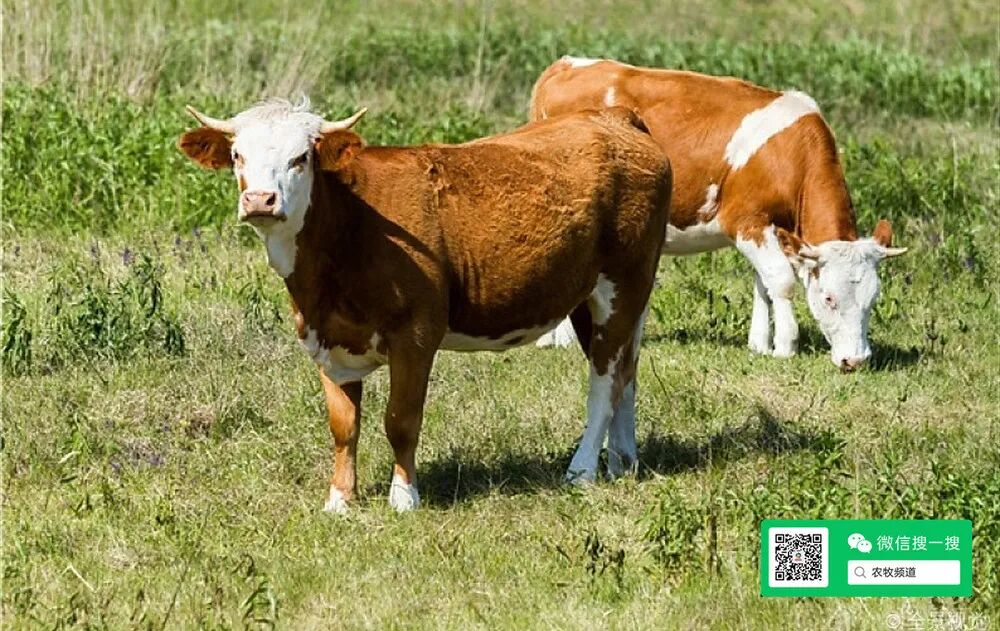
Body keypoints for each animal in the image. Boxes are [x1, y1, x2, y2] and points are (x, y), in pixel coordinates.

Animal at [178, 99, 671, 512]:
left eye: (301, 158)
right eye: (238, 156)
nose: (260, 200)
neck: (350, 228)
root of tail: (613, 117)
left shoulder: (415, 336)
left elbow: (401, 420)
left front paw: (403, 497)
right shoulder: (327, 341)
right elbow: (343, 426)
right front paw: (340, 500)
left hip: (623, 284)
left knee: (604, 382)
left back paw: (583, 469)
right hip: (591, 299)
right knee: (625, 374)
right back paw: (622, 462)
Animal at [531, 57, 907, 371]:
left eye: (873, 298)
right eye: (828, 298)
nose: (855, 360)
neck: (791, 156)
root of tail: (567, 64)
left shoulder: (772, 231)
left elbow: (762, 285)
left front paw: (759, 344)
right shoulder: (746, 221)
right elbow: (781, 282)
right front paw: (786, 346)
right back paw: (558, 339)